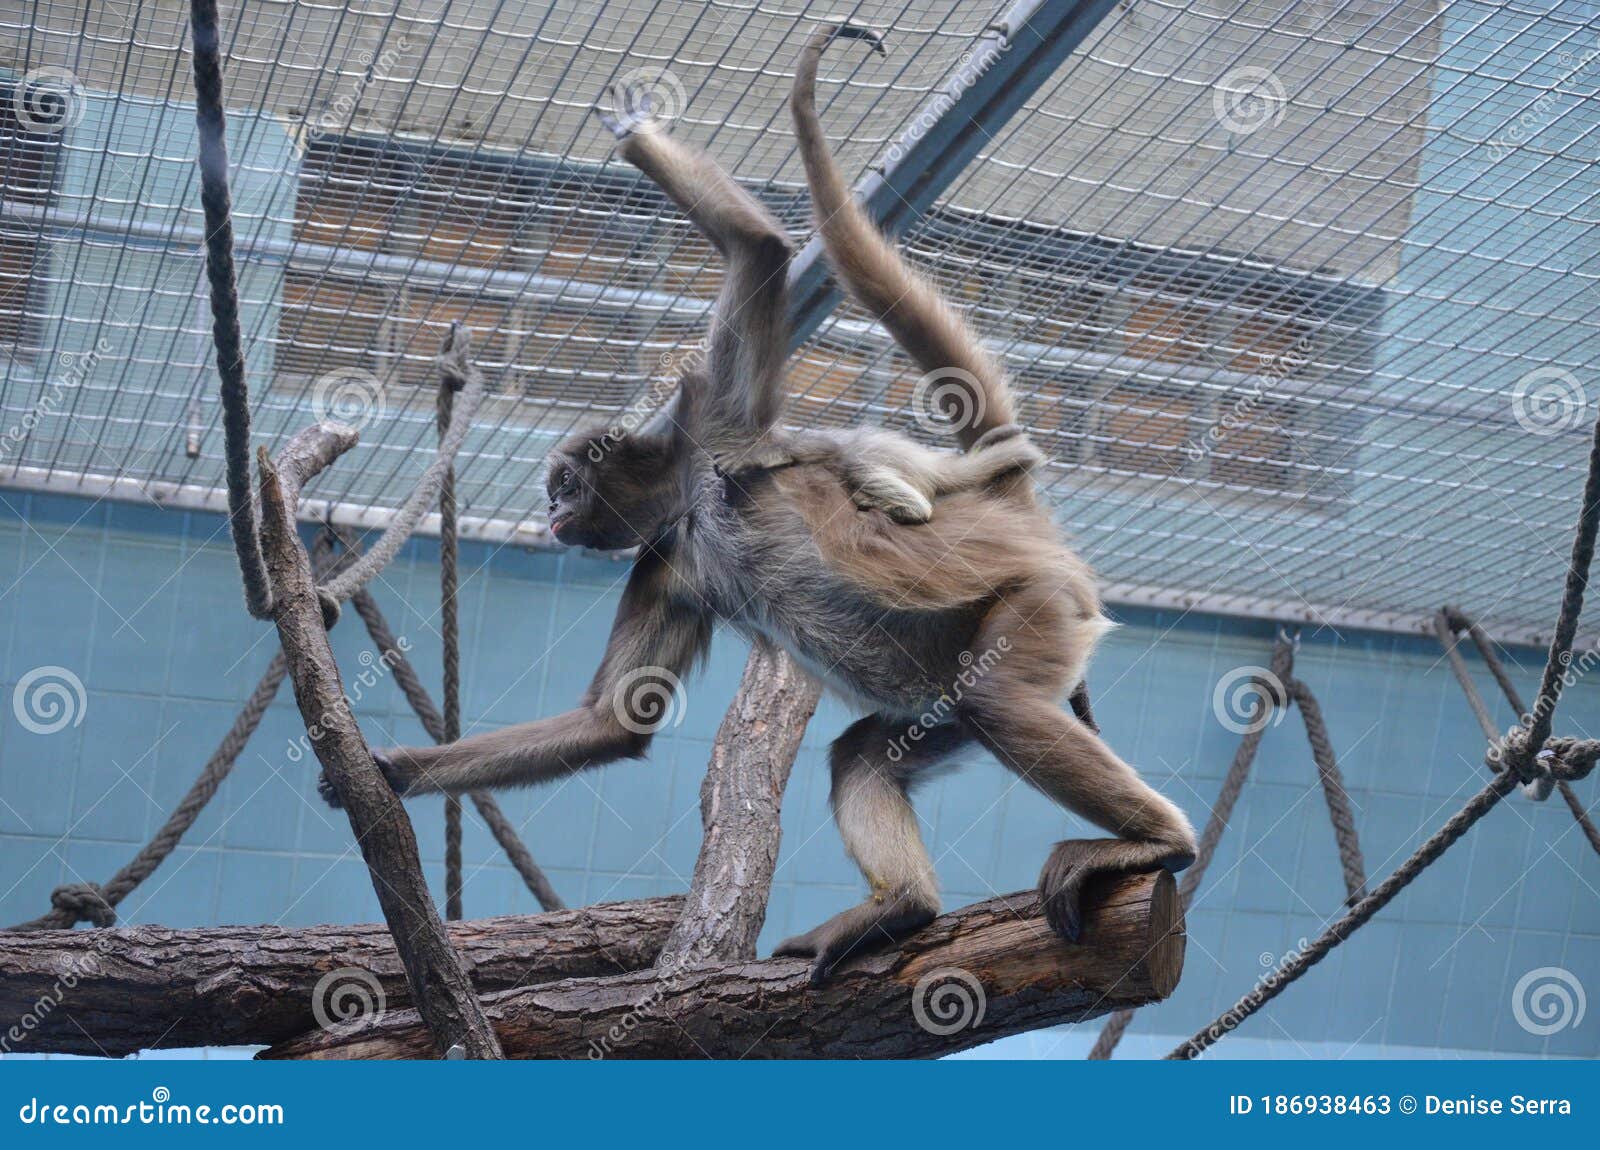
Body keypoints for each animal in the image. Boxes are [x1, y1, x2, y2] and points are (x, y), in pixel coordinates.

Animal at [333, 25, 1197, 985]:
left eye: (561, 484)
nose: (549, 513)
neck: (693, 504)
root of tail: (1015, 519)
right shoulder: (668, 560)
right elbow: (609, 725)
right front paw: (394, 769)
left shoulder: (715, 419)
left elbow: (758, 249)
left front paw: (636, 129)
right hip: (945, 682)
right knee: (867, 753)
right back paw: (902, 906)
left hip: (1035, 608)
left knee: (1003, 703)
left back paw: (1159, 841)